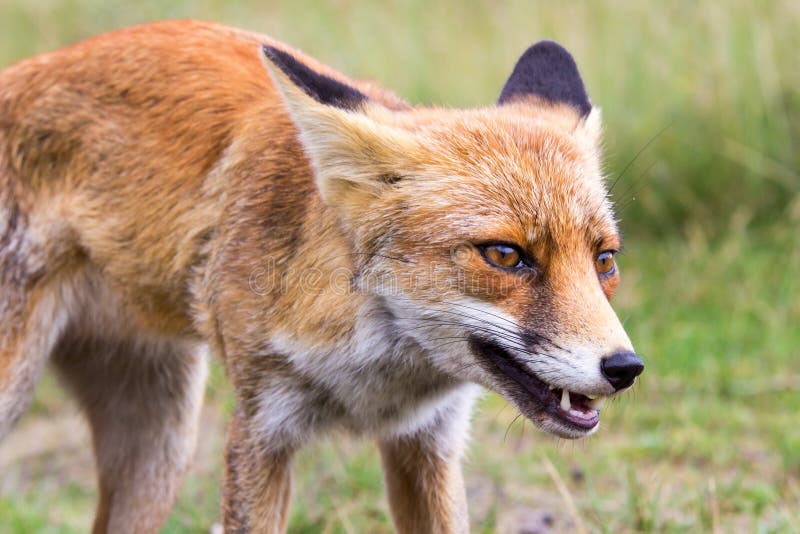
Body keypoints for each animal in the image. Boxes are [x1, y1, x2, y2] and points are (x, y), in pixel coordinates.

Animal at [0, 18, 643, 534]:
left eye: (604, 260)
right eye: (506, 255)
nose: (625, 368)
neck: (377, 379)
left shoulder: (427, 441)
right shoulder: (260, 432)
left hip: (159, 451)